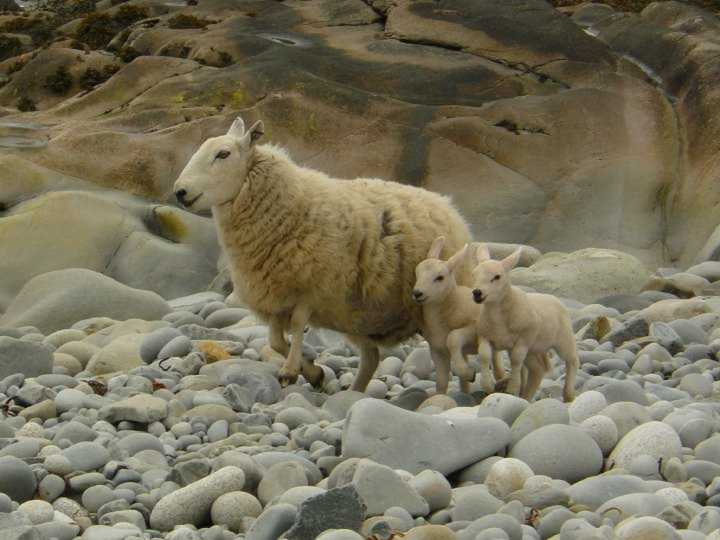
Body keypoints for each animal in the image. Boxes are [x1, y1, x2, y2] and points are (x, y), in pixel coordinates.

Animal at [172, 116, 473, 391]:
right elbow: (275, 341)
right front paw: (313, 373)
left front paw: (291, 371)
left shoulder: (313, 286)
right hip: (362, 317)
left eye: (223, 154)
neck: (292, 207)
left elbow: (296, 327)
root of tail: (449, 208)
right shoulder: (275, 295)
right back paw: (355, 393)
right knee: (371, 358)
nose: (179, 192)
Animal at [413, 238, 551, 398]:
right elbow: (441, 381)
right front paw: (440, 396)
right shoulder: (437, 350)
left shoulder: (473, 330)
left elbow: (453, 338)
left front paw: (469, 374)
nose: (417, 293)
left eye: (439, 277)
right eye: (416, 273)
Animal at [470, 244, 579, 402]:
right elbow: (484, 356)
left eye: (497, 276)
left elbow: (516, 360)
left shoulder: (525, 338)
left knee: (572, 361)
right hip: (534, 349)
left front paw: (512, 388)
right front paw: (488, 385)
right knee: (537, 369)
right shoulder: (485, 336)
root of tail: (555, 299)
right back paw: (525, 396)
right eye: (474, 274)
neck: (498, 317)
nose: (477, 293)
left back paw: (568, 395)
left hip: (564, 339)